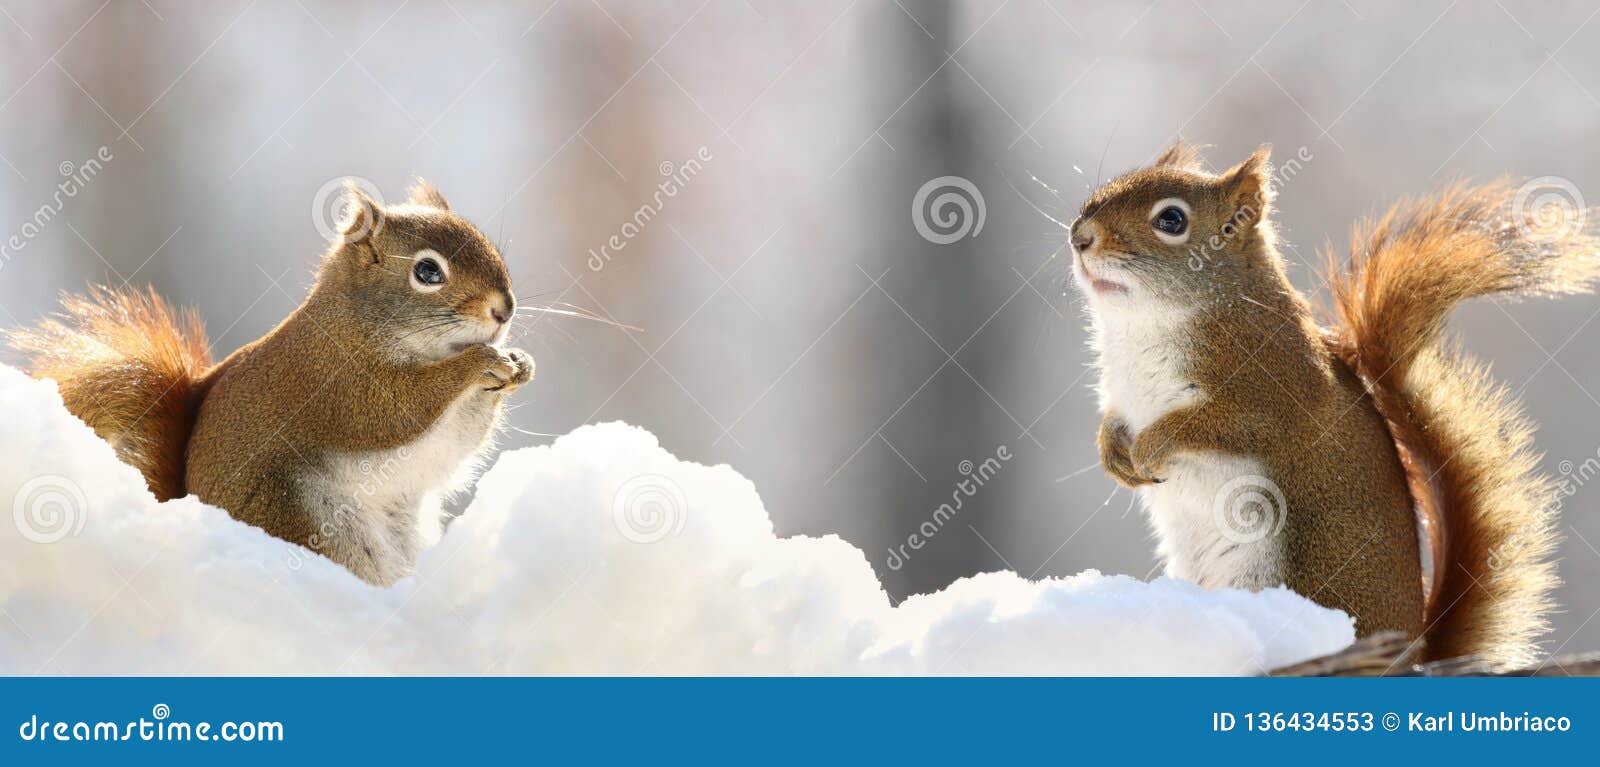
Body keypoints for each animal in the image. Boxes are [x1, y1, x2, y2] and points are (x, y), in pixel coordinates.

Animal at [6, 180, 533, 586]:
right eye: (427, 271)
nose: (504, 310)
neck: (357, 323)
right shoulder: (338, 384)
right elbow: (397, 412)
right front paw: (477, 364)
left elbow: (460, 439)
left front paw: (519, 365)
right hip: (299, 516)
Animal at [1069, 140, 1598, 667]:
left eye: (1172, 220)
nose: (1079, 237)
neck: (1143, 324)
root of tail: (1413, 654)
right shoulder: (1123, 396)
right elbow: (1114, 422)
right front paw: (1112, 452)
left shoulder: (1272, 390)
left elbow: (1221, 426)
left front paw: (1154, 444)